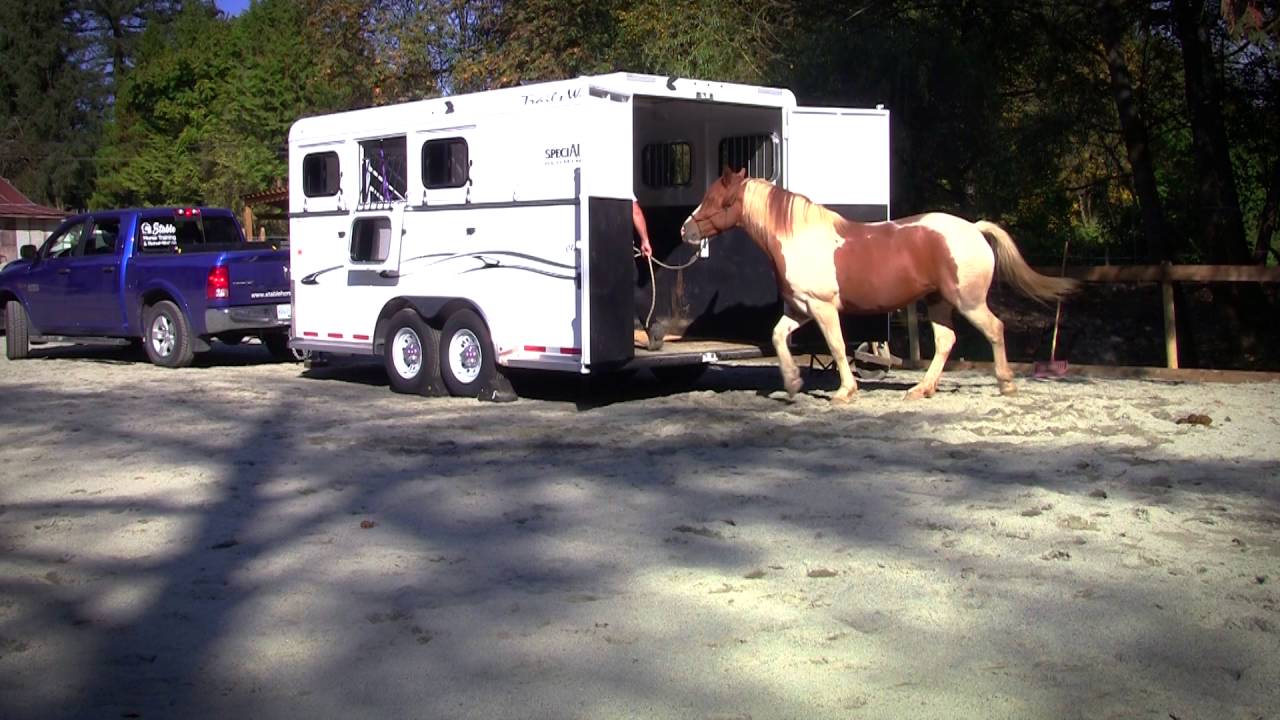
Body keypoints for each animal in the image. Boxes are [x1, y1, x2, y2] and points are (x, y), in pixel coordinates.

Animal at [679, 168, 1079, 403]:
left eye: (716, 200)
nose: (686, 231)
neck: (797, 236)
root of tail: (974, 228)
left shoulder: (823, 308)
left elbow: (838, 347)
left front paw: (844, 392)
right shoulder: (800, 308)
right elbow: (778, 337)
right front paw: (792, 383)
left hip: (968, 302)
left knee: (995, 329)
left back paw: (1005, 383)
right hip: (938, 302)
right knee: (946, 342)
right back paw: (921, 389)